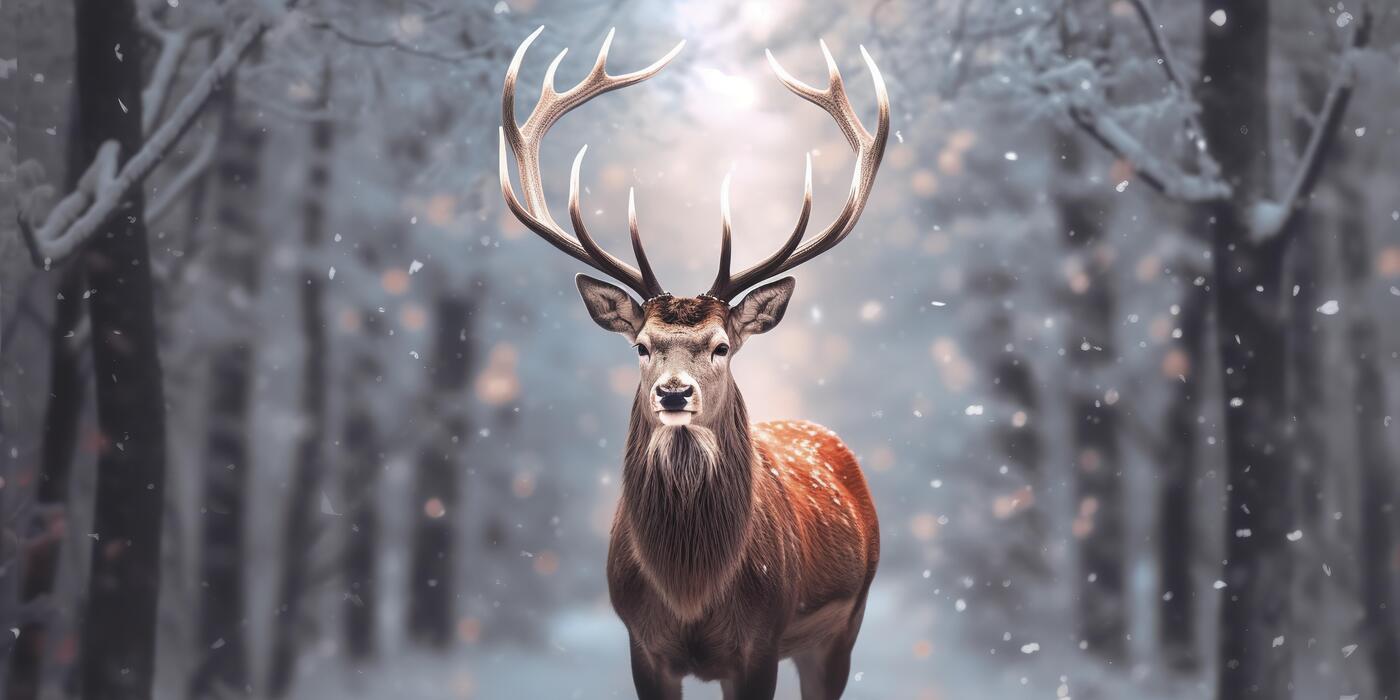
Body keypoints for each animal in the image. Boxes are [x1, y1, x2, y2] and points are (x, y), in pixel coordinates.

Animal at [498, 26, 889, 700]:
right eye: (641, 345)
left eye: (721, 345)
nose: (674, 394)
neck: (691, 593)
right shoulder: (641, 643)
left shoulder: (761, 642)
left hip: (845, 624)